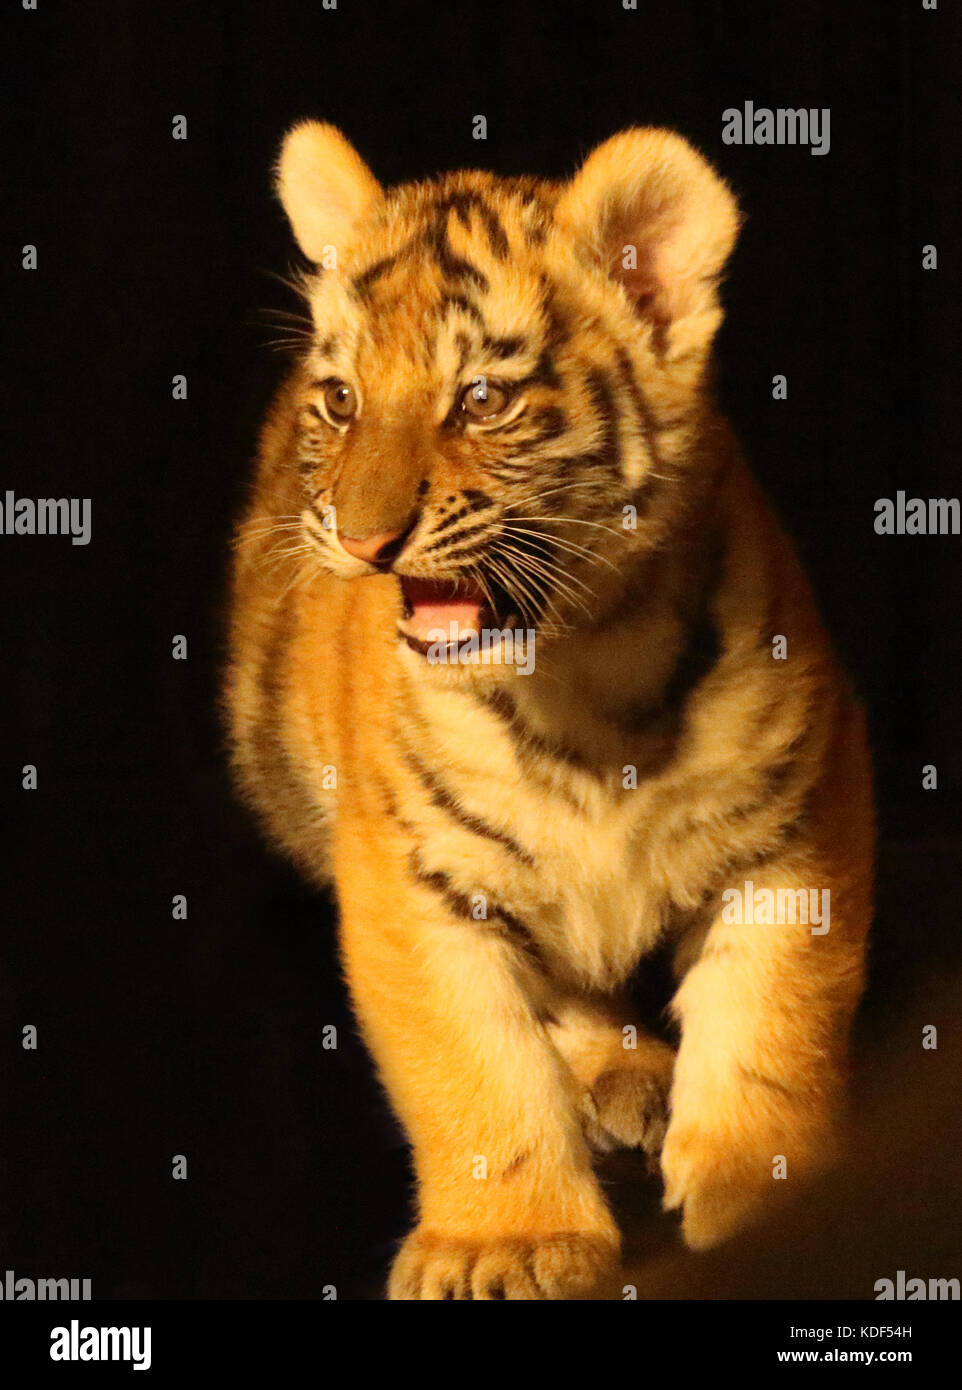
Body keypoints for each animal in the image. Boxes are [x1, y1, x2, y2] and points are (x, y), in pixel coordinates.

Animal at [225, 121, 875, 1300]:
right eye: (340, 400)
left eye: (482, 398)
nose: (360, 538)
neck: (583, 671)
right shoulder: (408, 875)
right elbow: (471, 1065)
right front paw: (508, 1244)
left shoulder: (804, 808)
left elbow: (774, 1023)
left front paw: (773, 1196)